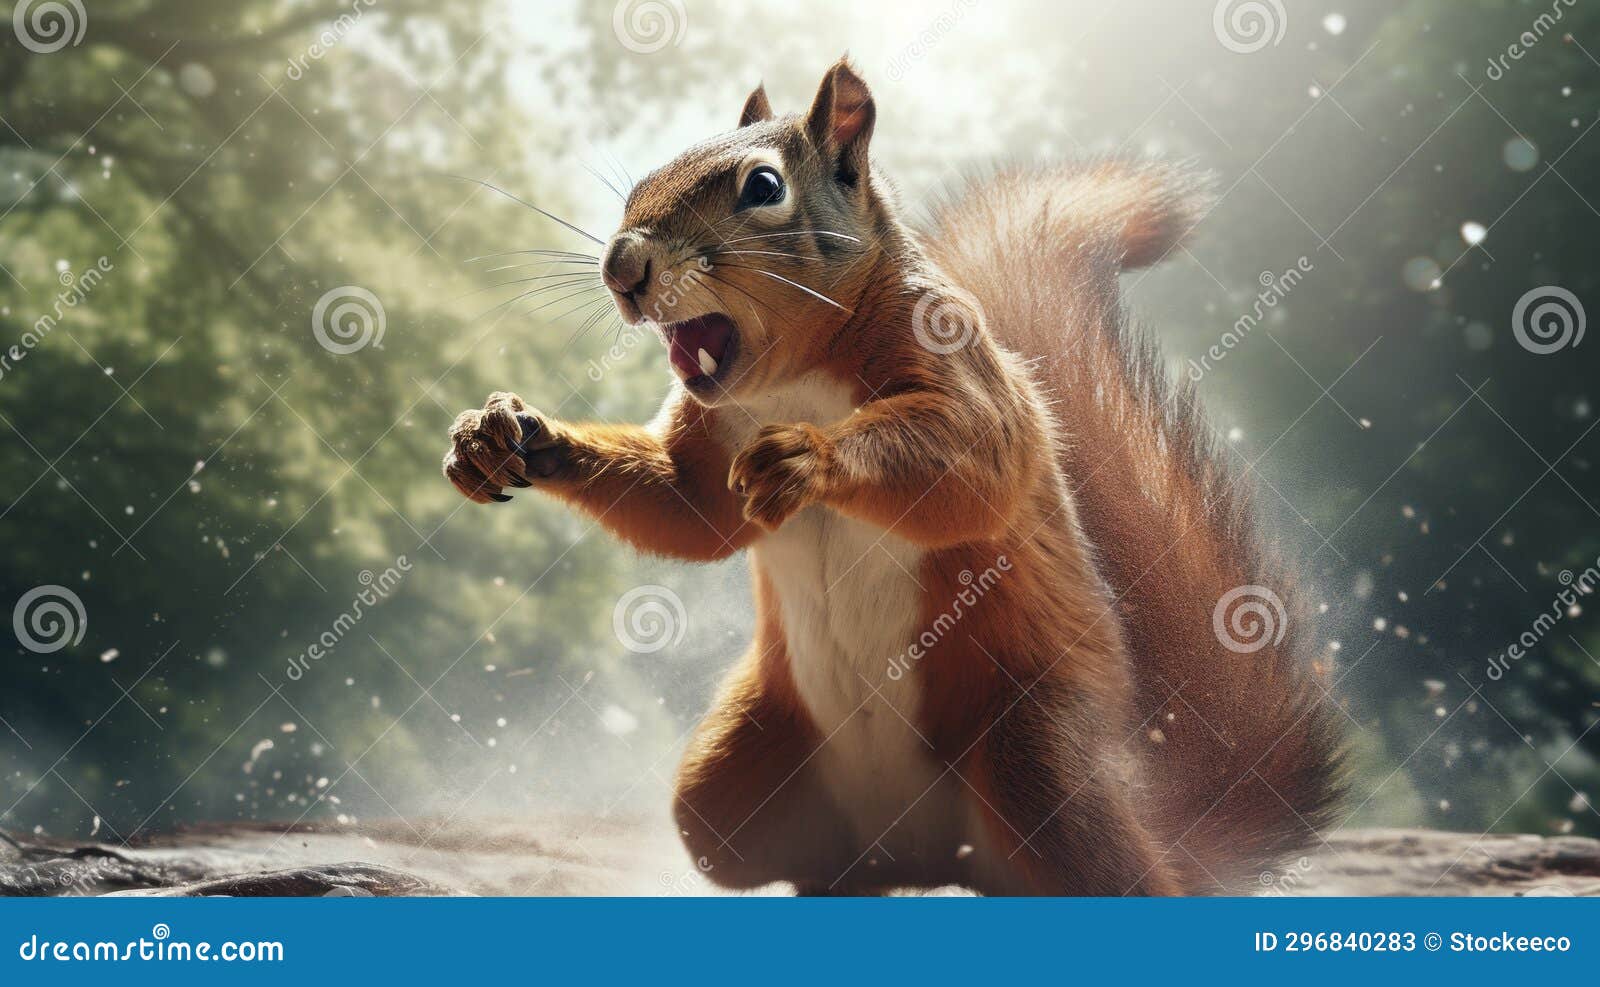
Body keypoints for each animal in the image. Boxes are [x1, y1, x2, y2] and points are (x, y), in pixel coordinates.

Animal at [443, 58, 1343, 895]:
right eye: (640, 182)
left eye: (763, 188)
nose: (622, 266)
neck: (792, 377)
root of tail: (927, 855)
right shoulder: (709, 449)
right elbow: (691, 509)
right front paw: (509, 435)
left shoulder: (957, 358)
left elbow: (978, 463)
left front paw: (808, 456)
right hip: (729, 784)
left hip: (1037, 756)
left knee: (1117, 871)